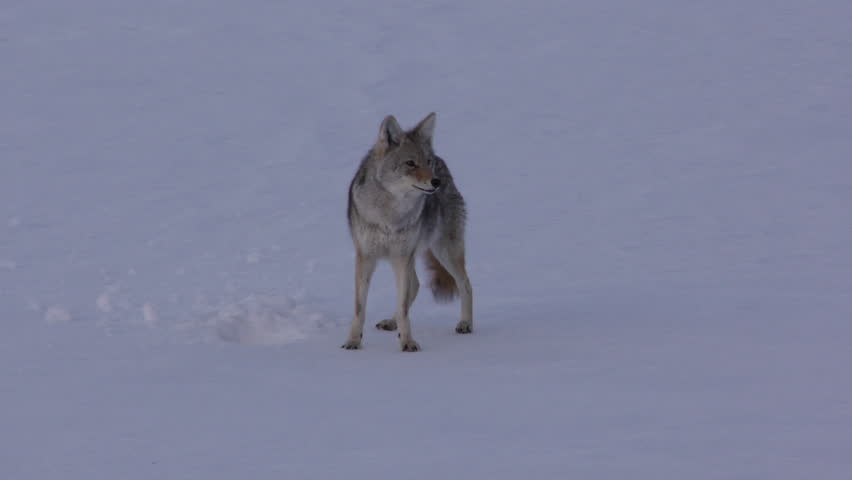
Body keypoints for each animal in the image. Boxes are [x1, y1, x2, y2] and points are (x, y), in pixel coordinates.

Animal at [342, 113, 473, 352]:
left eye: (427, 162)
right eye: (410, 163)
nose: (436, 182)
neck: (389, 214)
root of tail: (443, 161)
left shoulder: (402, 256)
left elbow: (403, 305)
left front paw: (408, 342)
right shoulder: (365, 257)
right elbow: (359, 307)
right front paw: (353, 341)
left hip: (442, 251)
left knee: (465, 284)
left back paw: (466, 324)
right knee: (416, 285)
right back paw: (391, 322)